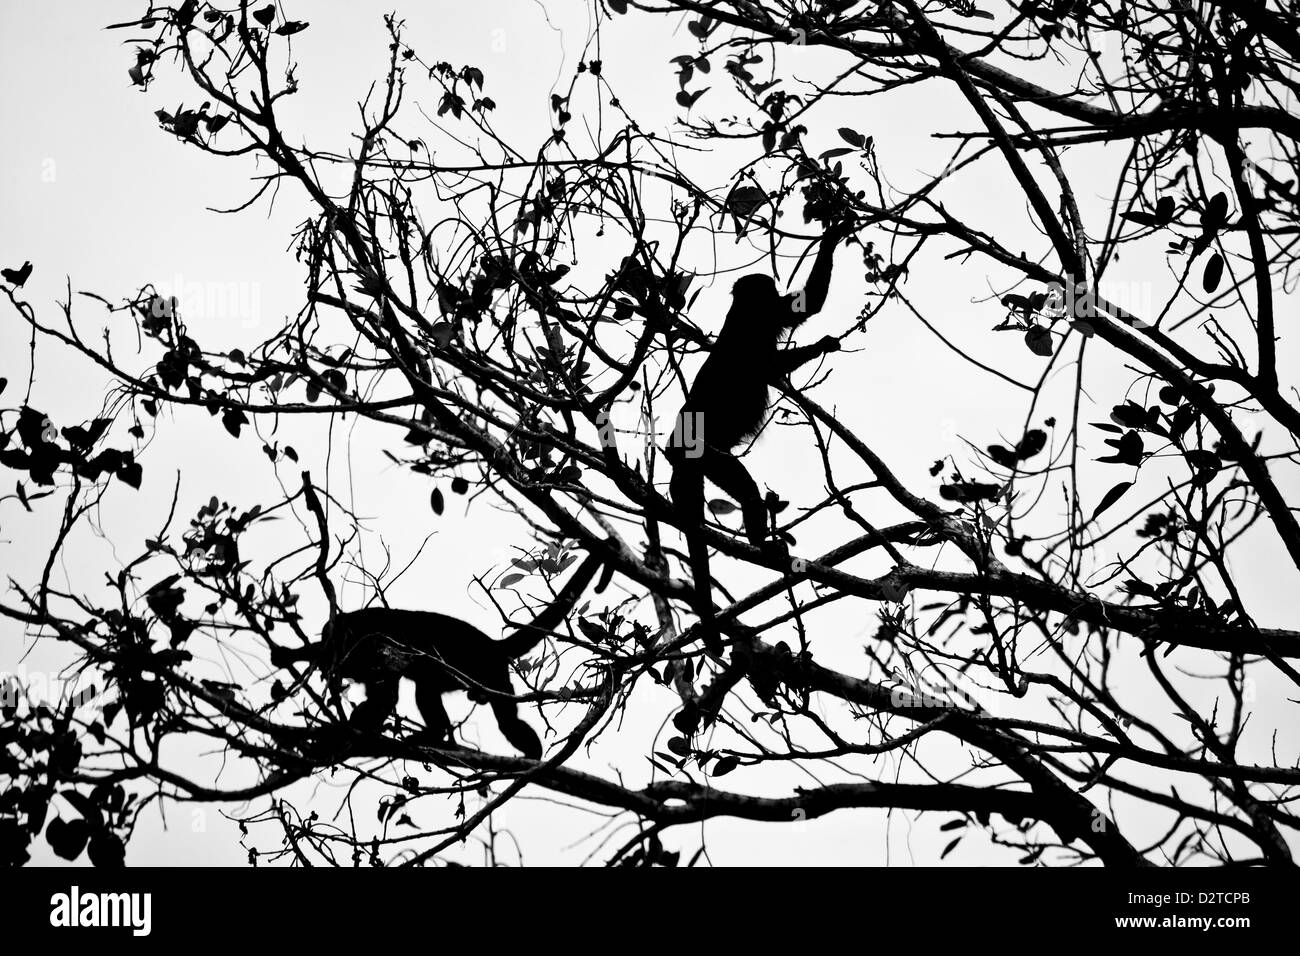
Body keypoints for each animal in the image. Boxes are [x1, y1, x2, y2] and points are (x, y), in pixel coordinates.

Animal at [270, 553, 606, 759]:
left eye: (341, 644)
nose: (335, 666)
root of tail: (492, 645)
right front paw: (289, 654)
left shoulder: (381, 643)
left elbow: (385, 697)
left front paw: (336, 738)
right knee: (427, 689)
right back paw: (436, 735)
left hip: (492, 674)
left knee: (506, 721)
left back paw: (529, 755)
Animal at [665, 224, 848, 653]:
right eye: (763, 285)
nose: (771, 285)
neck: (747, 310)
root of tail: (674, 447)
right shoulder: (754, 326)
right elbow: (781, 343)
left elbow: (804, 306)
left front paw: (834, 229)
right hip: (709, 454)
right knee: (745, 488)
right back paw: (761, 539)